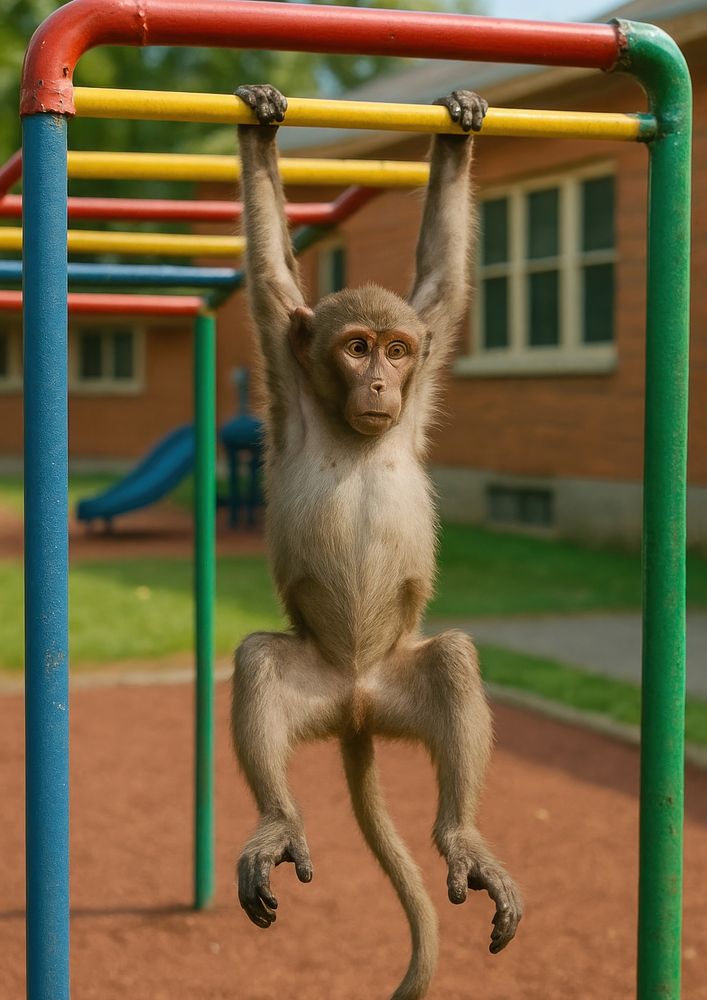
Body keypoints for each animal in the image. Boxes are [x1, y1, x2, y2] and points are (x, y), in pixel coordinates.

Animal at [231, 83, 522, 1000]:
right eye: (355, 347)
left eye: (395, 349)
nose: (382, 384)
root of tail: (357, 701)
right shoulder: (287, 360)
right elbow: (268, 272)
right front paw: (262, 124)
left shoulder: (429, 345)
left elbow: (444, 280)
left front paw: (459, 127)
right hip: (315, 684)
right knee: (258, 658)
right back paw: (277, 822)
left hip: (401, 675)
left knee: (453, 658)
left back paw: (461, 836)